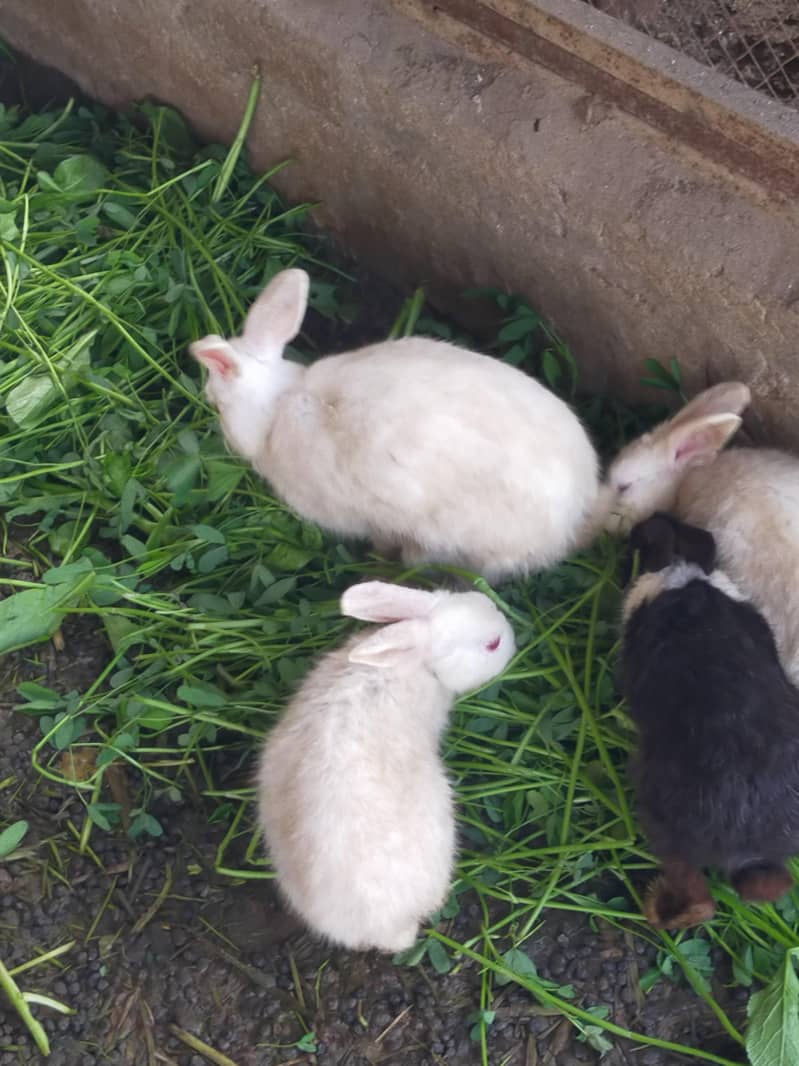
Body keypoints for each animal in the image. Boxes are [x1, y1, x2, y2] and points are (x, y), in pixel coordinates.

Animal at [620, 512, 799, 929]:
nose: (629, 535)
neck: (685, 577)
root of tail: (750, 841)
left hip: (663, 824)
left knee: (698, 898)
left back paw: (658, 907)